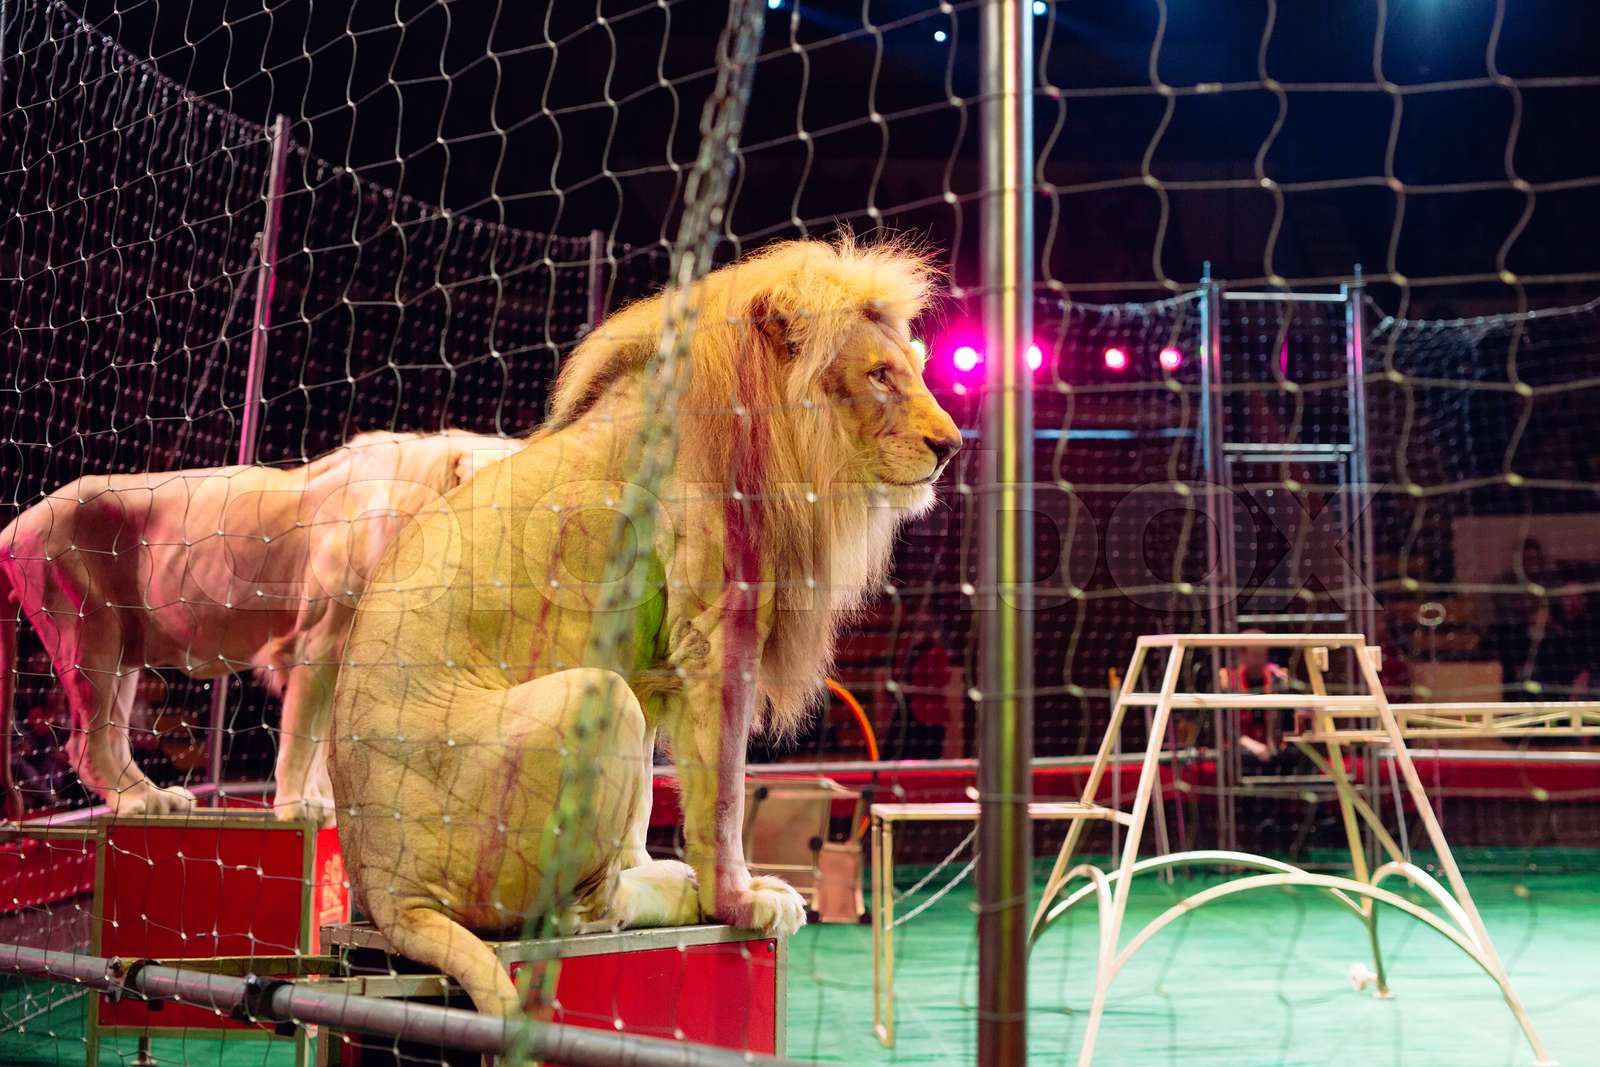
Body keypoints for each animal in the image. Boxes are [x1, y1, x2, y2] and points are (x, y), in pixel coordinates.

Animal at [0, 430, 522, 824]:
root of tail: (16, 524)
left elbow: (324, 745)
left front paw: (323, 803)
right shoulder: (319, 646)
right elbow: (304, 736)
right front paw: (296, 807)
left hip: (124, 650)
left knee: (111, 736)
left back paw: (158, 797)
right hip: (90, 635)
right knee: (86, 743)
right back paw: (137, 803)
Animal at [330, 234, 963, 1016]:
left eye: (914, 369)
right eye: (879, 374)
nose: (951, 445)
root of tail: (385, 891)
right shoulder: (717, 634)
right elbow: (721, 794)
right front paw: (739, 900)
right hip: (587, 700)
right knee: (573, 913)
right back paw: (672, 891)